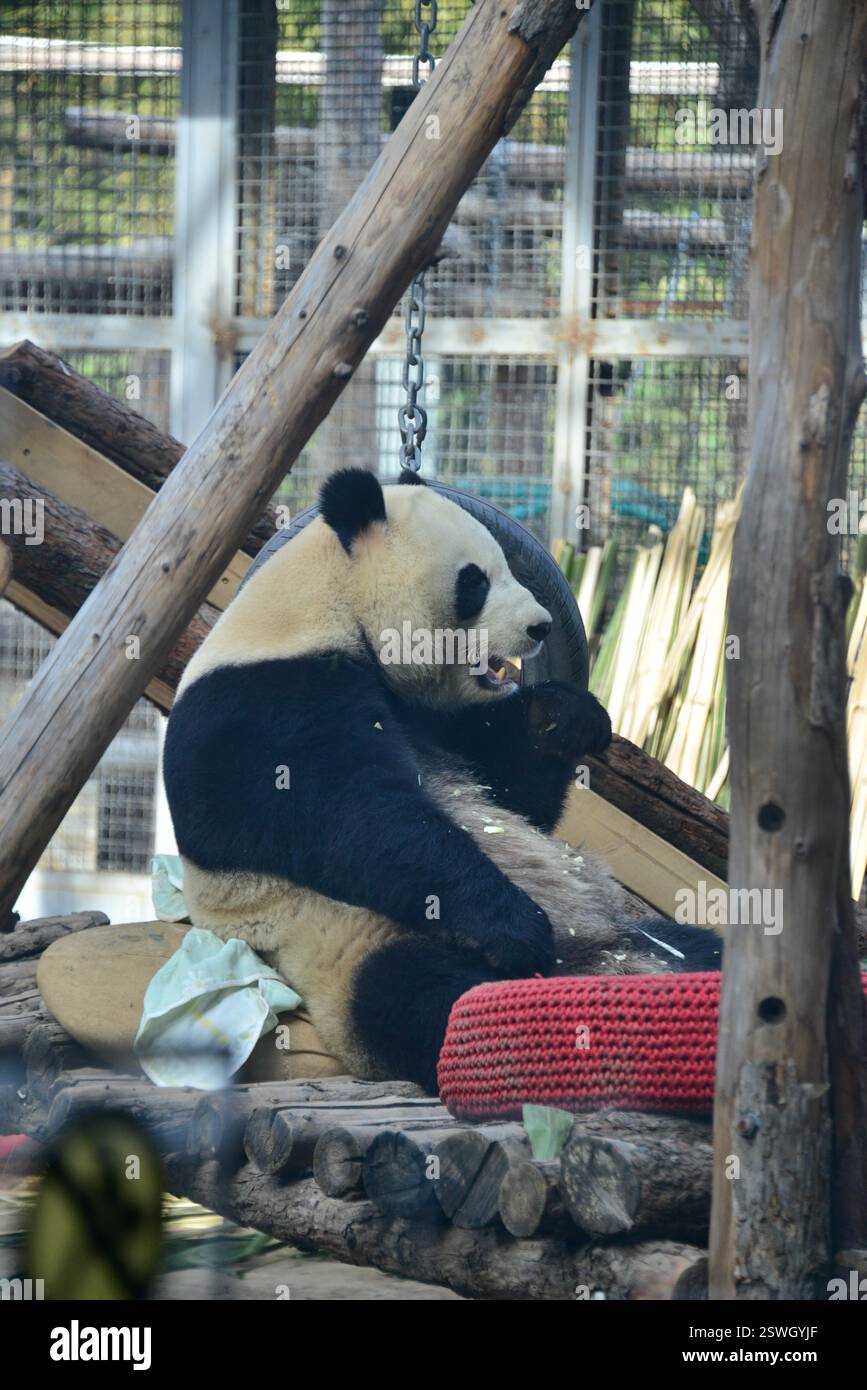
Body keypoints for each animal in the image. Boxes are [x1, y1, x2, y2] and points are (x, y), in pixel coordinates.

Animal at [164, 468, 720, 1093]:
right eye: (474, 580)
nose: (541, 626)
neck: (325, 607)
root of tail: (598, 959)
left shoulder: (430, 718)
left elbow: (512, 793)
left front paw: (565, 715)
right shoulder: (260, 704)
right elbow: (359, 821)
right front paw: (516, 923)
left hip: (637, 935)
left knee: (698, 947)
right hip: (358, 948)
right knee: (426, 998)